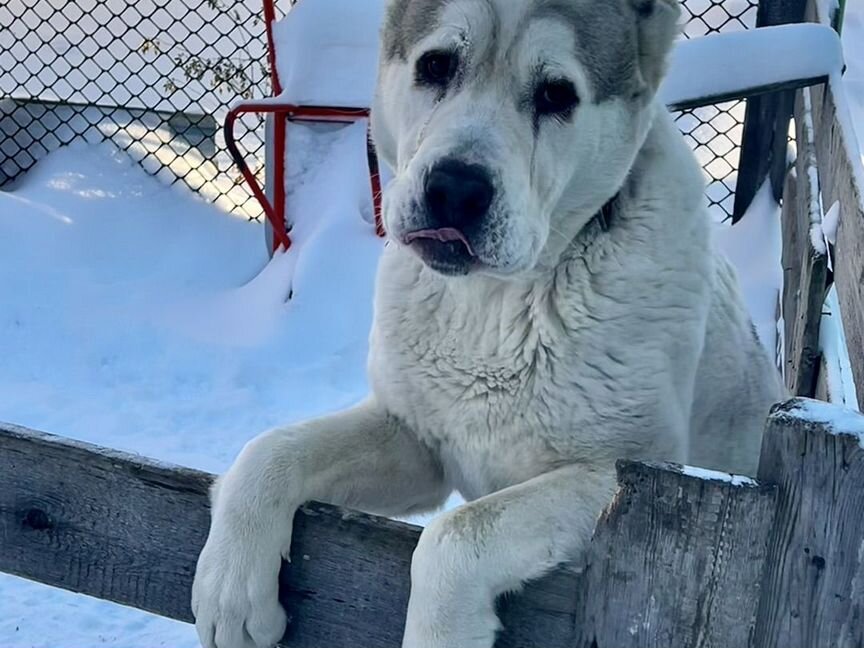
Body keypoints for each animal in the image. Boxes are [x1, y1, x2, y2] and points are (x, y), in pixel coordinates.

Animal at [192, 0, 788, 644]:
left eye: (556, 94)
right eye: (435, 65)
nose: (454, 189)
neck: (494, 306)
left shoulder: (620, 478)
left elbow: (455, 537)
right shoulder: (415, 442)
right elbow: (271, 449)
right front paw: (231, 588)